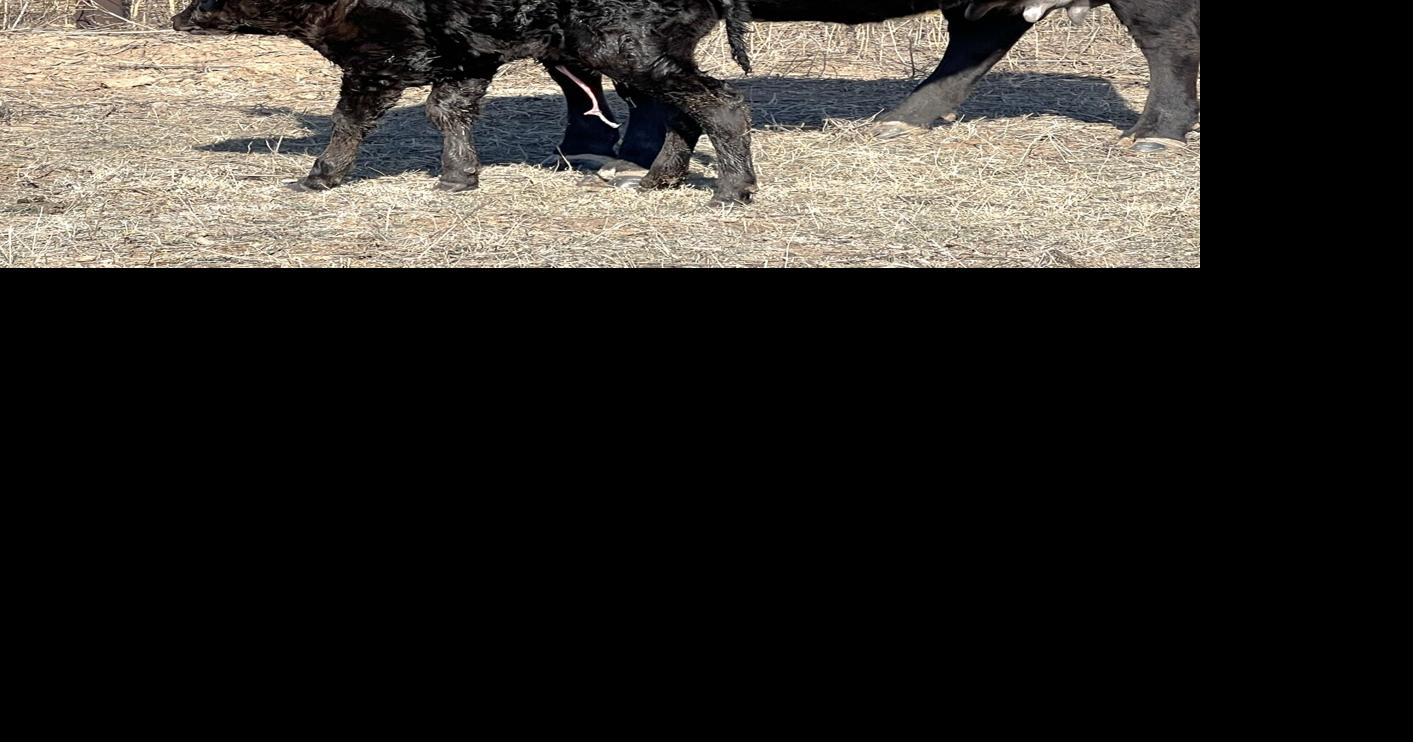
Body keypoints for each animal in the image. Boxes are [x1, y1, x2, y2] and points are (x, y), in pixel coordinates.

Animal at [173, 0, 760, 205]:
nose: (178, 16)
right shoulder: (468, 58)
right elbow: (448, 110)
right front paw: (458, 177)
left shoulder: (376, 61)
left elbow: (349, 120)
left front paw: (318, 176)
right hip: (653, 59)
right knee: (685, 110)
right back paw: (655, 180)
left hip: (630, 51)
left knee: (721, 102)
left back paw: (731, 191)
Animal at [551, 0, 1200, 173]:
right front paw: (586, 146)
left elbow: (641, 80)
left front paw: (629, 158)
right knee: (982, 34)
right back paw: (901, 118)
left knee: (1170, 37)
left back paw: (1157, 133)